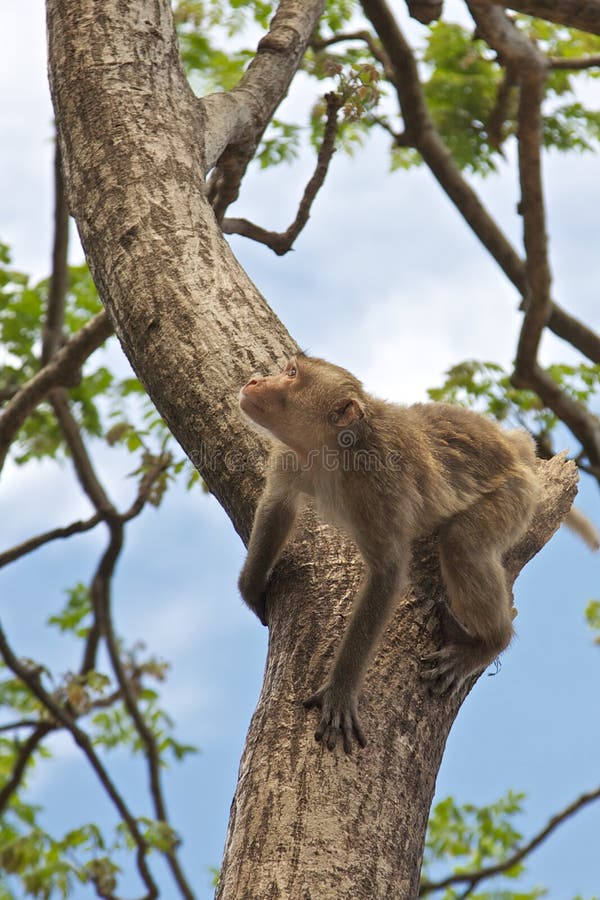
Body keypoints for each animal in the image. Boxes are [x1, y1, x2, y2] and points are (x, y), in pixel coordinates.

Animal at [238, 354, 544, 753]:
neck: (332, 450)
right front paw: (251, 588)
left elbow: (387, 573)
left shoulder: (377, 483)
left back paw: (490, 643)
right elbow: (277, 506)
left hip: (515, 495)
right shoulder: (291, 457)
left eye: (291, 374)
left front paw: (341, 690)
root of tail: (515, 449)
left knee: (462, 544)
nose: (255, 381)